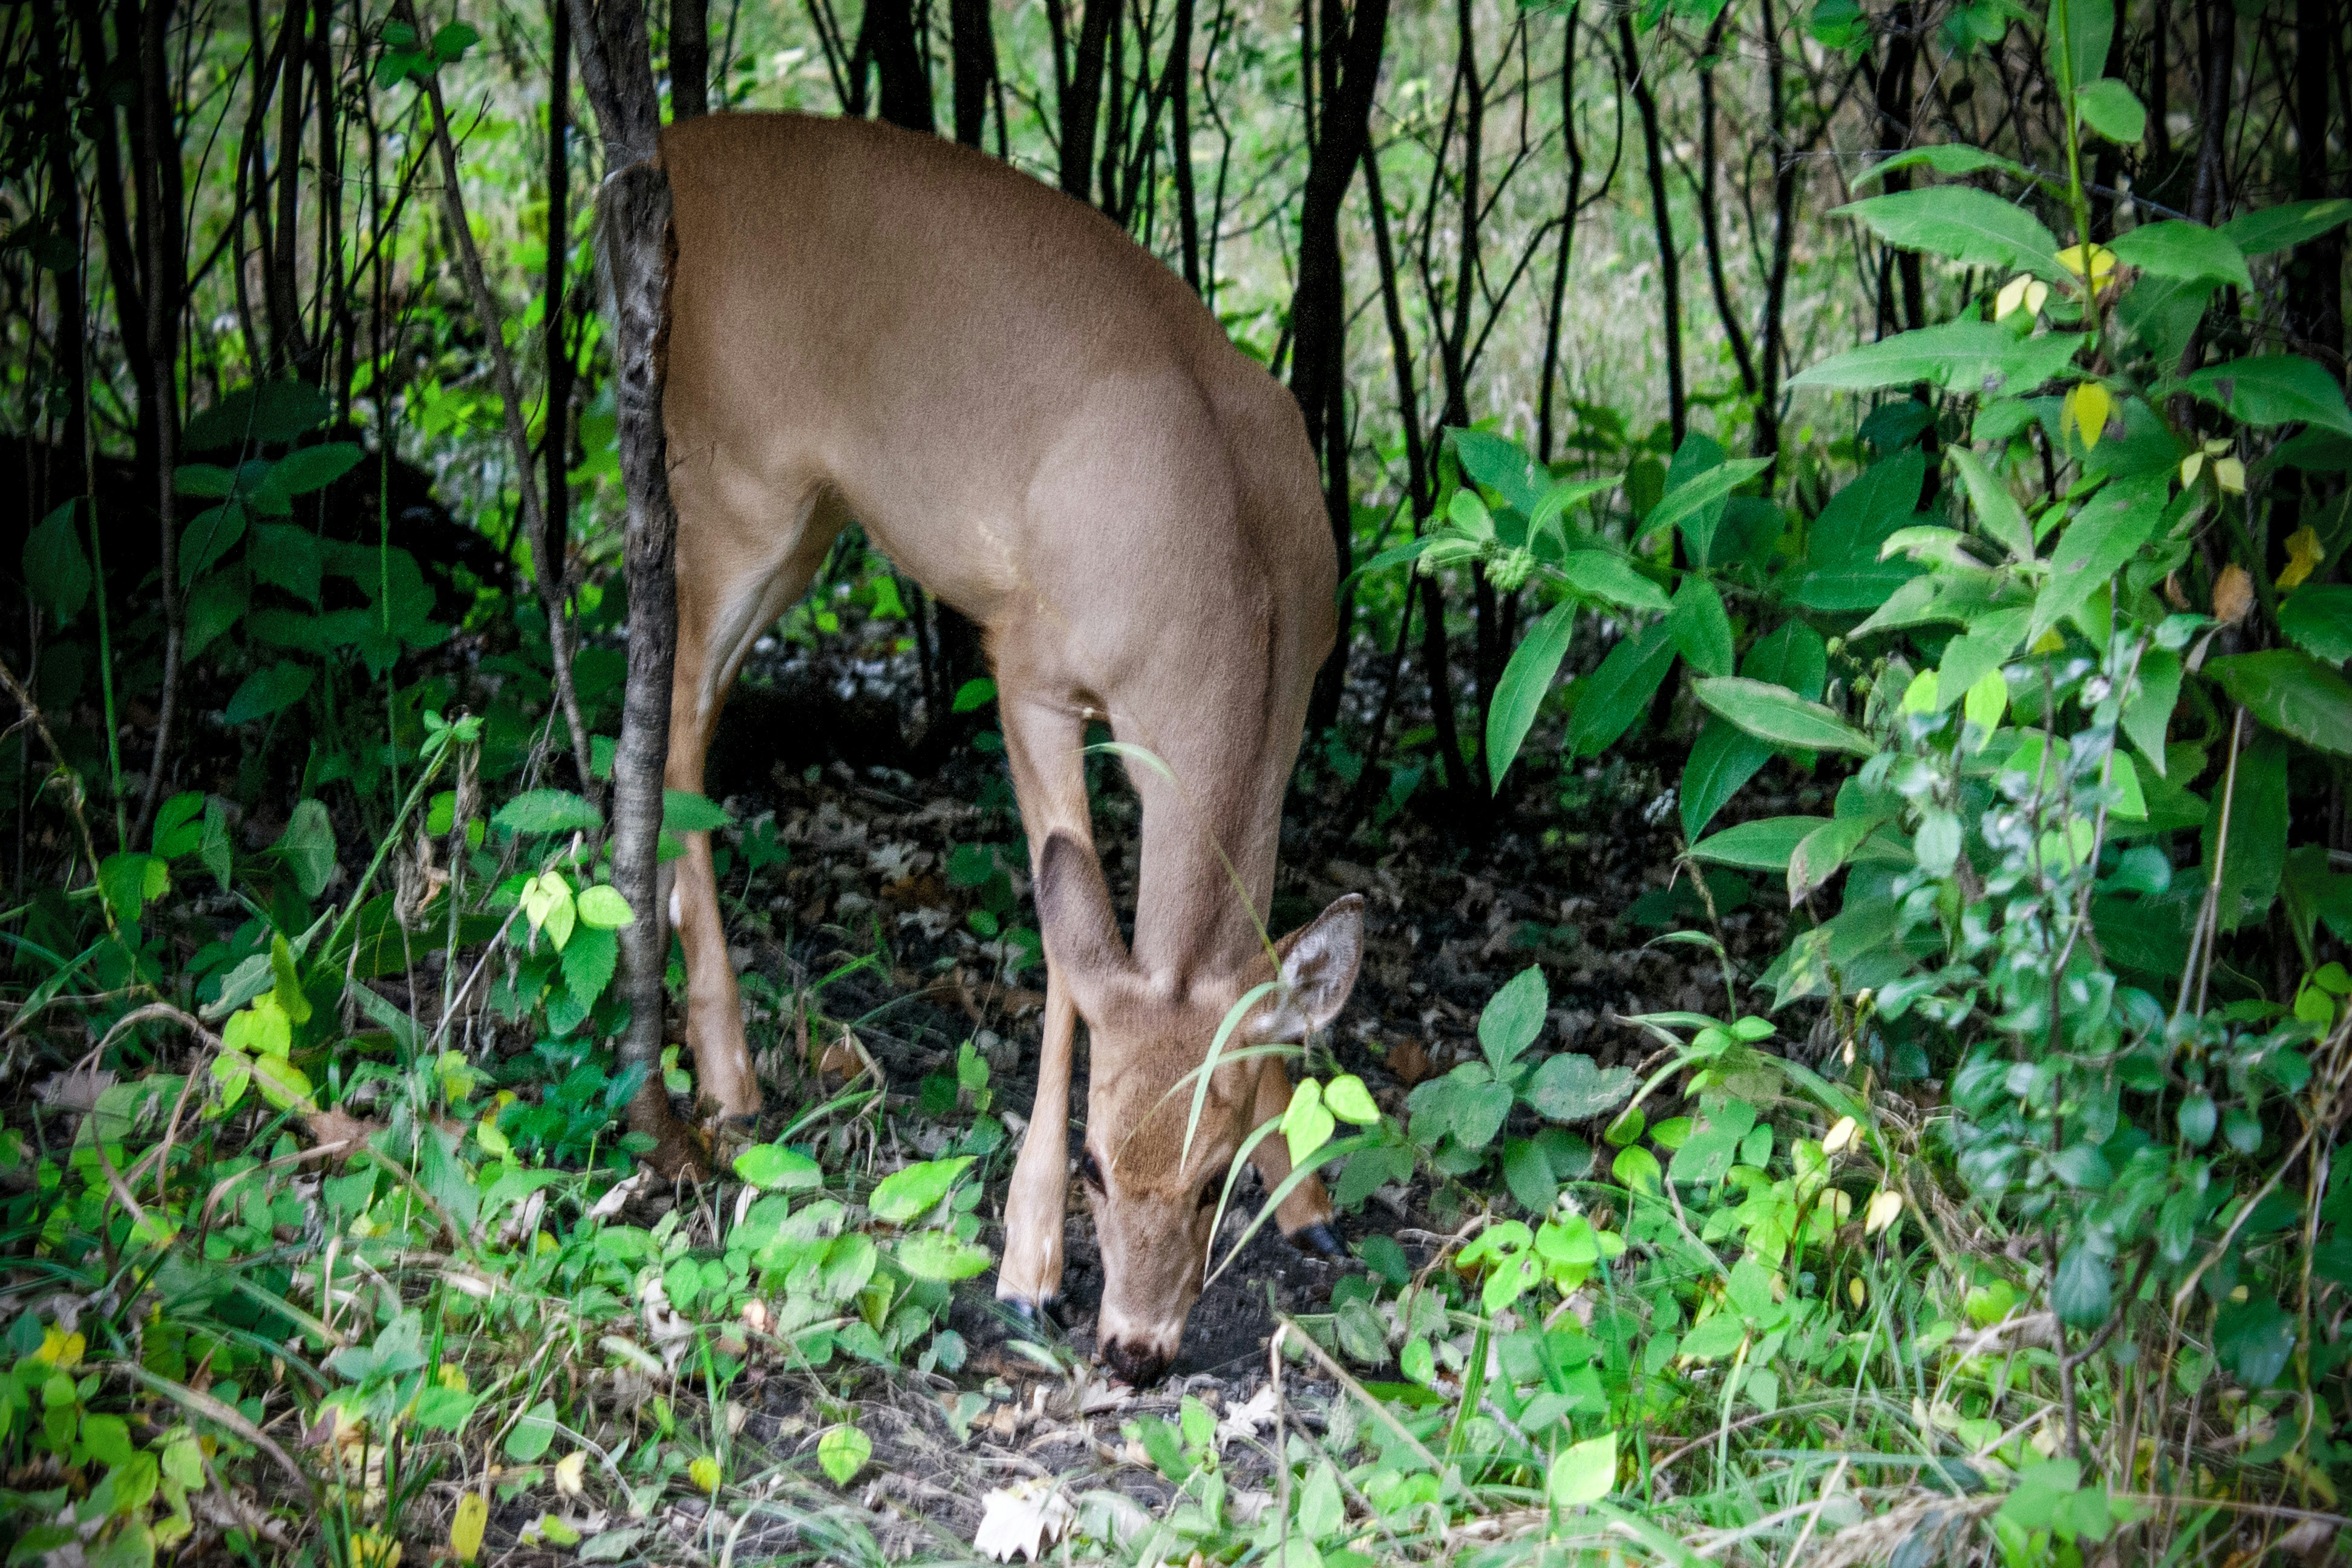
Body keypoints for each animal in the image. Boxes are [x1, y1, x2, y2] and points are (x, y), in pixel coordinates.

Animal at [646, 111, 1366, 1384]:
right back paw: (728, 1082)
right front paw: (1025, 1266)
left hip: (809, 520)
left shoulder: (1293, 709)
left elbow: (1242, 955)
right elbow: (1068, 947)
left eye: (1211, 1179)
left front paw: (1313, 1203)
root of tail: (674, 145)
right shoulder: (1025, 662)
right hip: (729, 479)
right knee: (675, 735)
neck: (1229, 579)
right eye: (1094, 1165)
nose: (1135, 1347)